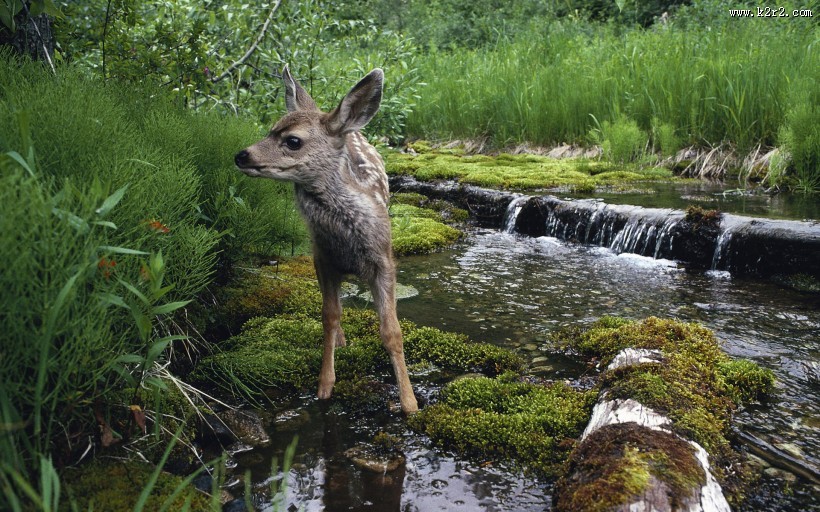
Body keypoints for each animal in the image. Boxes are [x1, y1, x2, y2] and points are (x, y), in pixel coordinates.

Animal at [234, 66, 419, 414]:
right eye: (270, 129)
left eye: (292, 141)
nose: (241, 155)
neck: (346, 238)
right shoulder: (322, 258)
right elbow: (329, 316)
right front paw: (324, 386)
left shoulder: (384, 260)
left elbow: (392, 331)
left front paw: (409, 402)